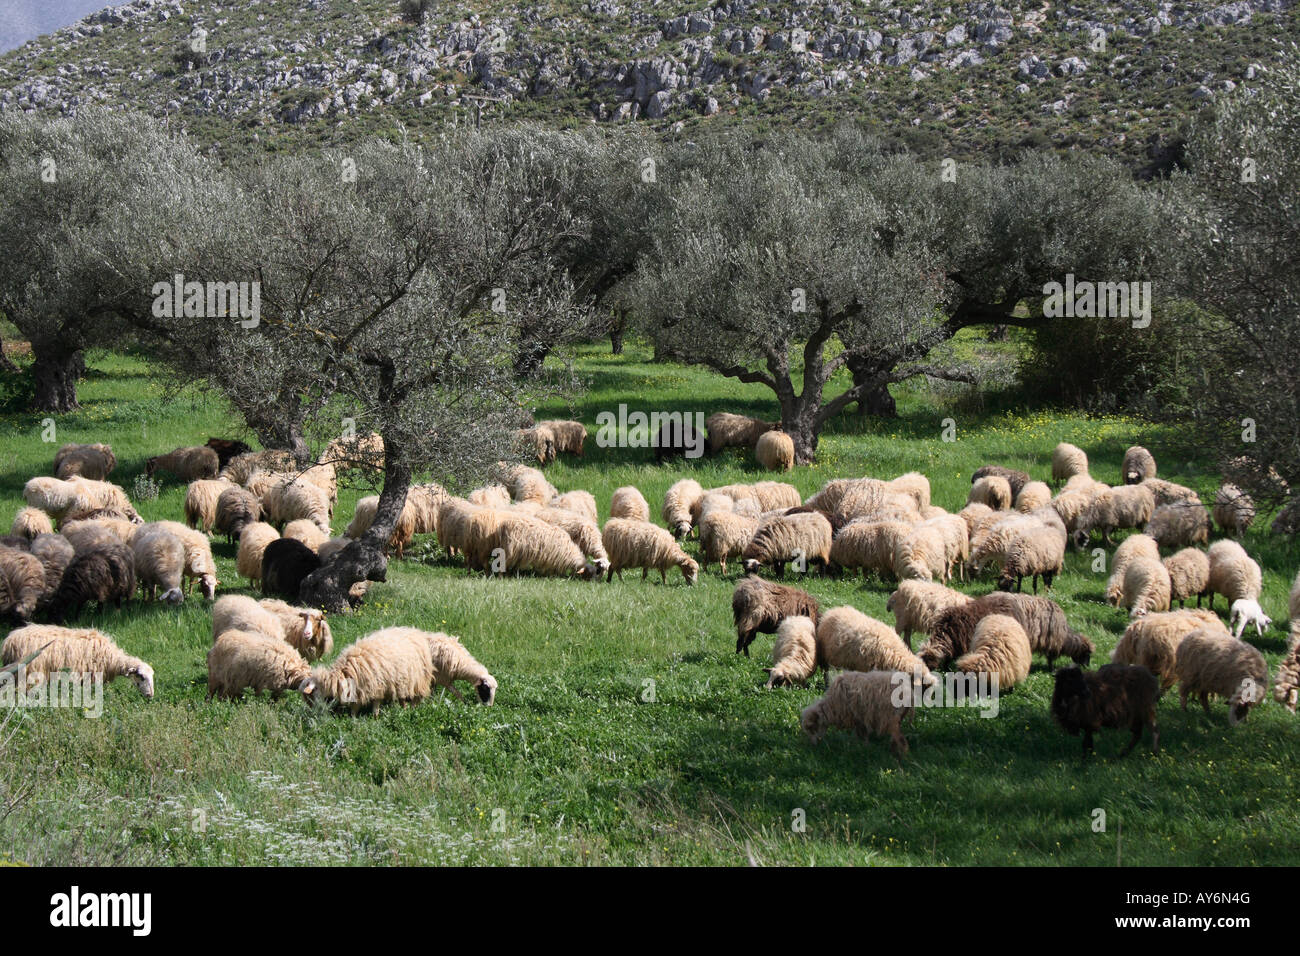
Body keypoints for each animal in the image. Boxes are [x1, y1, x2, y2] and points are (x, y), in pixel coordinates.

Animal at [299, 628, 435, 715]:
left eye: (311, 695)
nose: (313, 712)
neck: (344, 672)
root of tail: (416, 632)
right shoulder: (359, 689)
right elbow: (355, 707)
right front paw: (353, 718)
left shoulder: (376, 686)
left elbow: (375, 704)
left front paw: (375, 717)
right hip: (402, 680)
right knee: (402, 696)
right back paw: (404, 708)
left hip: (418, 677)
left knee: (416, 695)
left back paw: (412, 708)